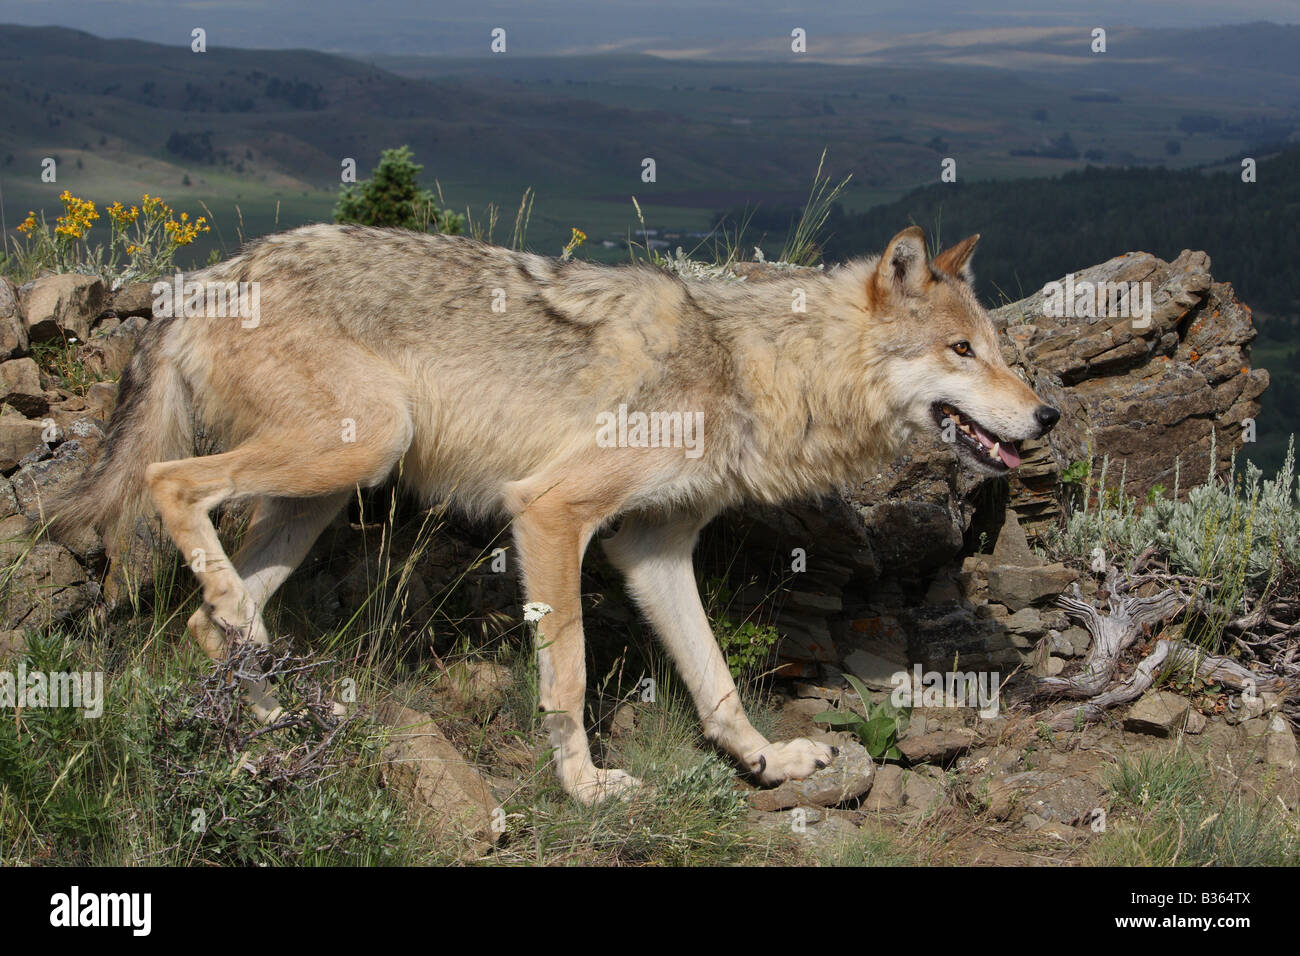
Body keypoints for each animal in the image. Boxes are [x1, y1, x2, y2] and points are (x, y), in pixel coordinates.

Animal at [50, 223, 1058, 804]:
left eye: (998, 348)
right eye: (962, 351)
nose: (1047, 415)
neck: (753, 365)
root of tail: (206, 274)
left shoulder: (655, 550)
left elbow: (717, 681)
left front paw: (767, 763)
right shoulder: (550, 512)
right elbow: (568, 679)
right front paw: (582, 785)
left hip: (329, 484)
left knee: (210, 623)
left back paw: (270, 713)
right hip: (360, 445)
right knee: (173, 486)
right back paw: (250, 651)